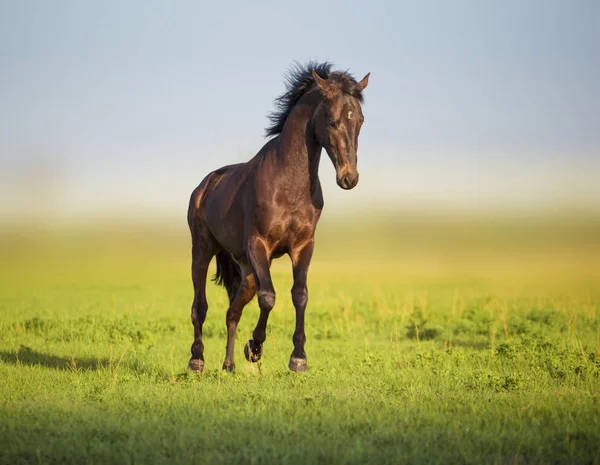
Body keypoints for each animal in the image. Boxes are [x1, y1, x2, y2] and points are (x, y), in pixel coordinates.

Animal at [186, 62, 370, 374]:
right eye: (332, 122)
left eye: (360, 121)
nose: (349, 178)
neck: (288, 184)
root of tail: (205, 186)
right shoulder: (258, 244)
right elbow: (269, 297)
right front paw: (254, 348)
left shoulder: (303, 247)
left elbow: (300, 295)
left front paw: (298, 358)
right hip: (202, 250)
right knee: (200, 306)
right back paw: (197, 360)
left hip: (246, 271)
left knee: (232, 311)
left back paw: (229, 365)